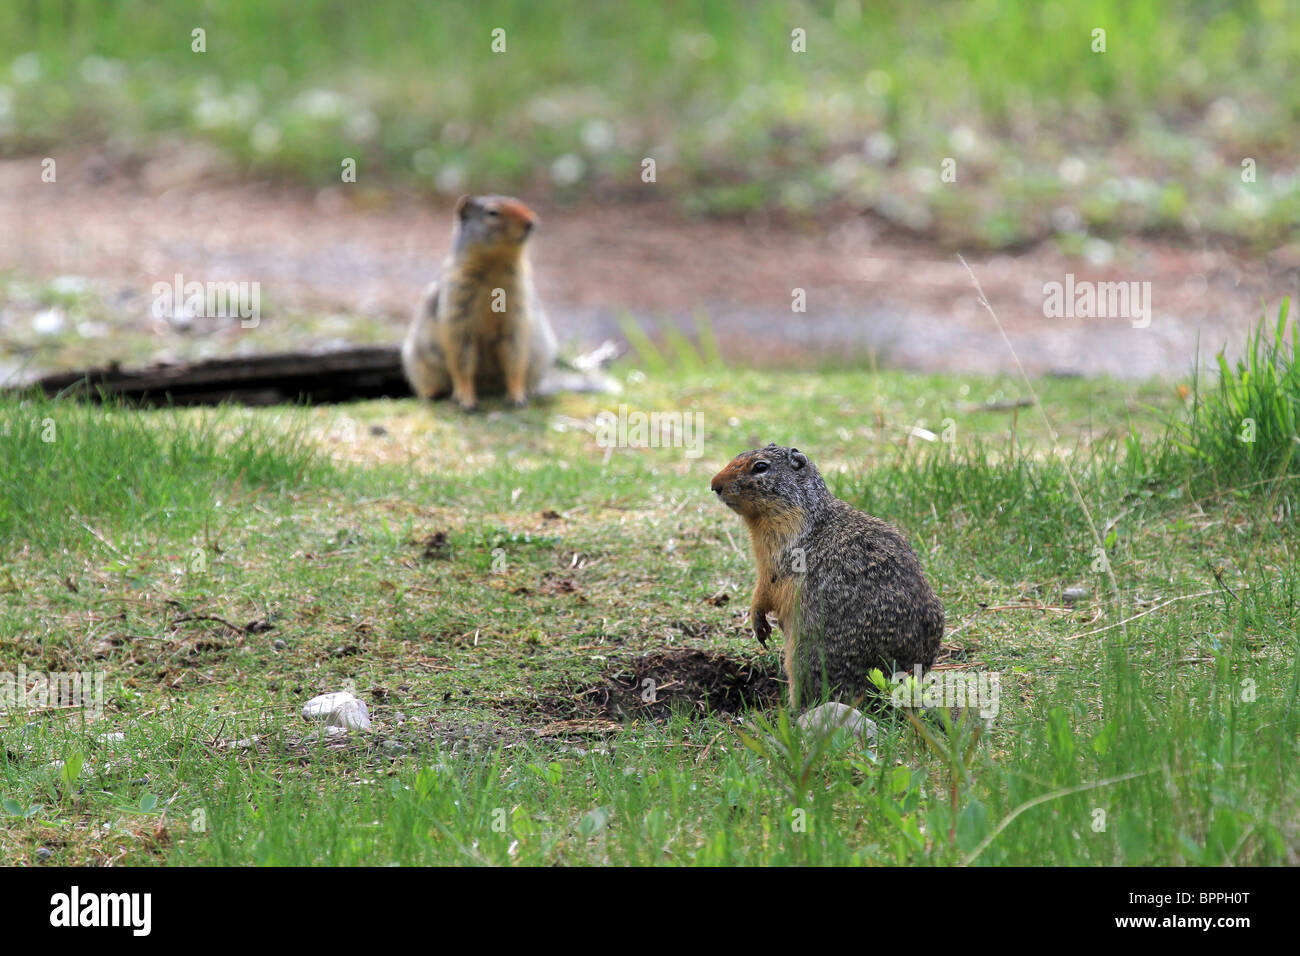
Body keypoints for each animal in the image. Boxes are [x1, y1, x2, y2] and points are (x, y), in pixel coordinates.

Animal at [401, 194, 557, 411]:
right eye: (492, 212)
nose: (532, 222)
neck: (495, 263)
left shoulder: (517, 306)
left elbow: (515, 354)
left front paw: (517, 397)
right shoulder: (458, 307)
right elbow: (461, 358)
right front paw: (466, 400)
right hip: (420, 361)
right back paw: (434, 394)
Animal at [711, 443, 944, 710]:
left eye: (760, 466)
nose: (714, 484)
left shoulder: (776, 558)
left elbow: (764, 589)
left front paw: (759, 624)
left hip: (806, 655)